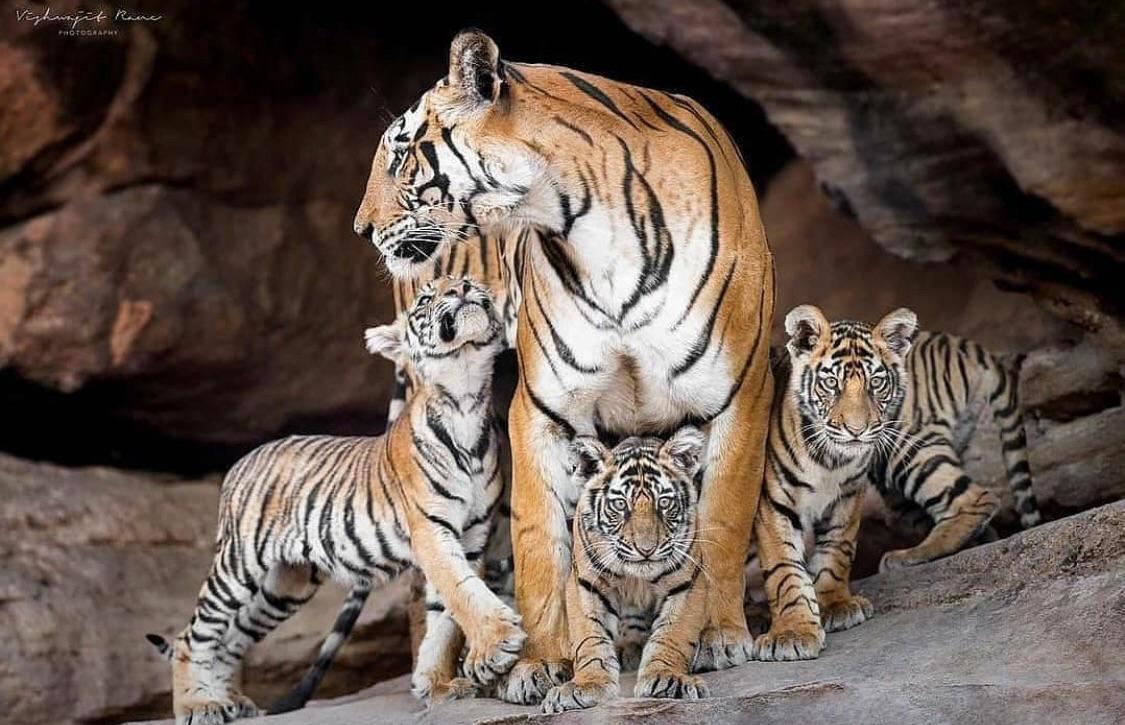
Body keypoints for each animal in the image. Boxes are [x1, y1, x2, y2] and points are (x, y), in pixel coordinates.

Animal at [146, 276, 523, 724]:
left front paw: (437, 686)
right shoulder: (431, 530)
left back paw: (232, 701)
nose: (462, 288)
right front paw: (499, 645)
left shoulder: (474, 535)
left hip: (286, 584)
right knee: (195, 635)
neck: (465, 398)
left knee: (233, 636)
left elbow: (445, 615)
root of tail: (243, 460)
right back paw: (198, 705)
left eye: (468, 282)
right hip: (239, 565)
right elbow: (462, 590)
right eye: (426, 298)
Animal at [542, 427, 710, 714]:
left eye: (664, 502)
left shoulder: (687, 583)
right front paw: (585, 686)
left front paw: (668, 678)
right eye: (620, 505)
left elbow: (673, 634)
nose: (646, 549)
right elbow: (590, 638)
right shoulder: (585, 583)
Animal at [753, 304, 1041, 661]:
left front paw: (835, 605)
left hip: (906, 447)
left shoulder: (848, 497)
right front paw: (792, 632)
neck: (831, 459)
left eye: (875, 383)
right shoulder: (773, 503)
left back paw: (910, 555)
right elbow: (784, 569)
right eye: (831, 383)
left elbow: (836, 552)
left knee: (975, 497)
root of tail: (965, 345)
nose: (857, 431)